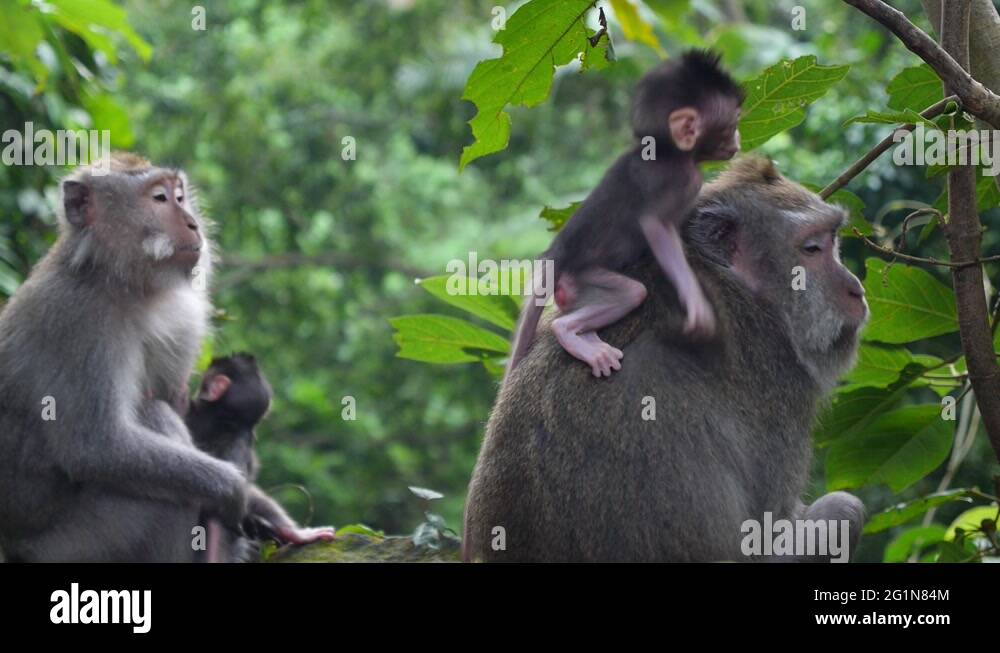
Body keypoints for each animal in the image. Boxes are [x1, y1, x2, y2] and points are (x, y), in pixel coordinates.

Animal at [0, 153, 249, 562]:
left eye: (181, 196)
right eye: (160, 198)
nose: (193, 223)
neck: (115, 280)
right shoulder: (79, 321)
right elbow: (97, 447)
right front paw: (233, 489)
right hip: (77, 544)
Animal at [463, 156, 868, 562]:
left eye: (834, 241)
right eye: (812, 248)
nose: (857, 289)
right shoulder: (775, 373)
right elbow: (765, 535)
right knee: (845, 510)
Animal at [508, 50, 744, 379]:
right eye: (732, 124)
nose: (738, 141)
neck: (666, 150)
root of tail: (556, 255)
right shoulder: (680, 180)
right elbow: (655, 225)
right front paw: (695, 303)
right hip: (585, 277)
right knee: (630, 294)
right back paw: (569, 332)